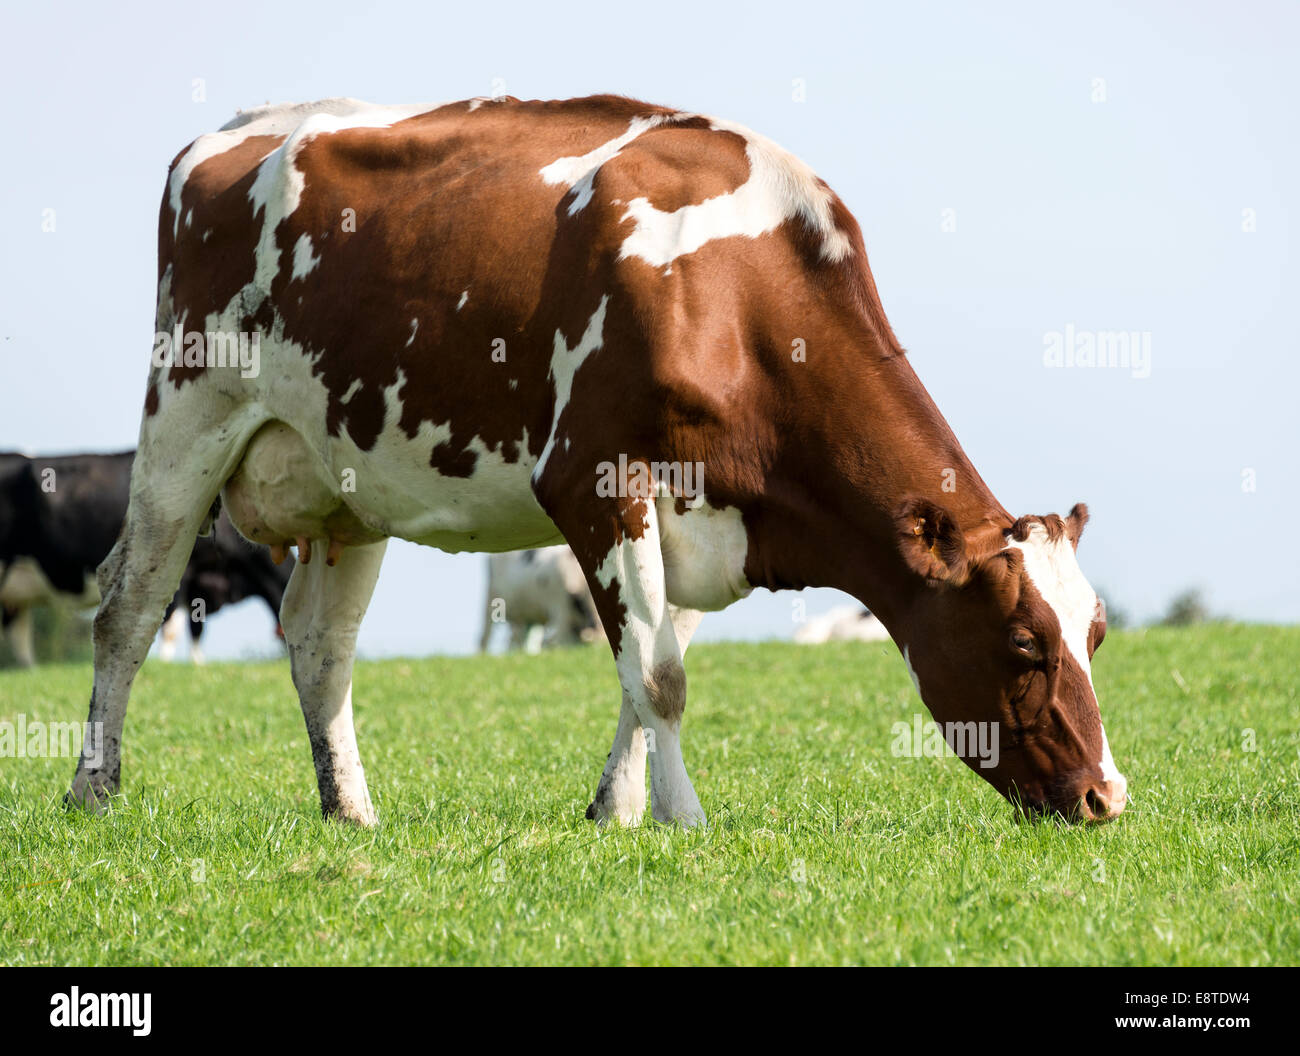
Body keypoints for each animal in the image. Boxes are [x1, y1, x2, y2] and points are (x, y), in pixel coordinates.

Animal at [0, 451, 289, 665]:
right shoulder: (183, 572)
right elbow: (169, 626)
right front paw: (163, 665)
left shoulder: (203, 582)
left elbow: (196, 629)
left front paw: (198, 666)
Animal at [68, 94, 1126, 829]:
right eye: (1022, 643)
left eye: (1097, 634)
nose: (1106, 798)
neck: (734, 297)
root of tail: (241, 130)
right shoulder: (594, 479)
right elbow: (659, 676)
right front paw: (684, 820)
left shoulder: (704, 523)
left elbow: (648, 661)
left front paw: (616, 810)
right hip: (183, 421)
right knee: (129, 608)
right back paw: (94, 791)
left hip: (344, 484)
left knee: (321, 645)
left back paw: (351, 812)